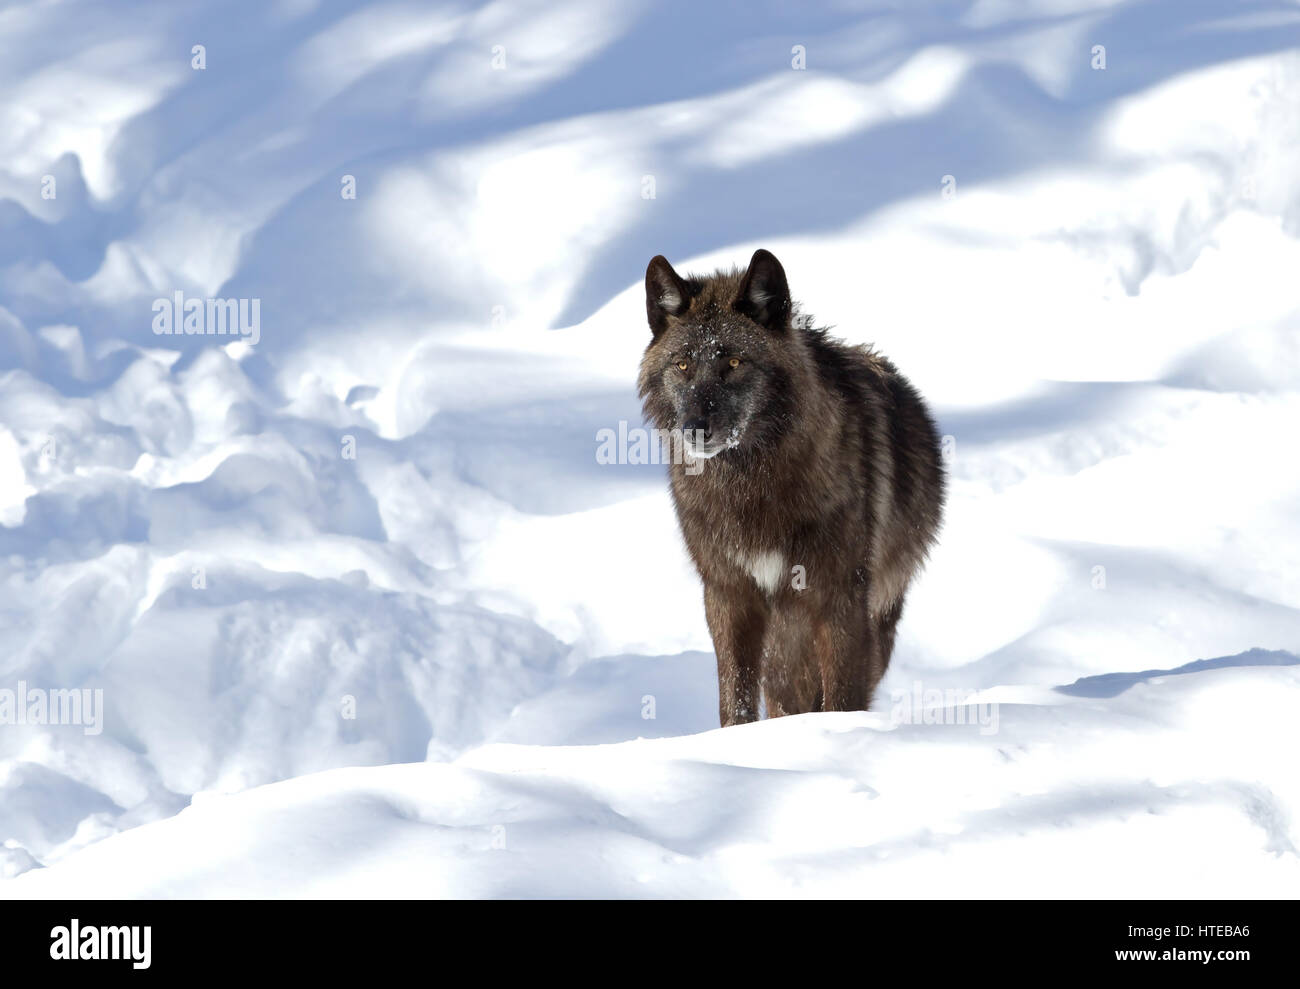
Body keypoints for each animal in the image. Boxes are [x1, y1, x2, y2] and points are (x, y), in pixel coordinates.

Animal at [638, 249, 945, 726]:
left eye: (734, 363)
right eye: (683, 365)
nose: (694, 429)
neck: (751, 483)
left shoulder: (839, 597)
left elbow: (842, 696)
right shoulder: (728, 594)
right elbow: (736, 697)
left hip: (870, 620)